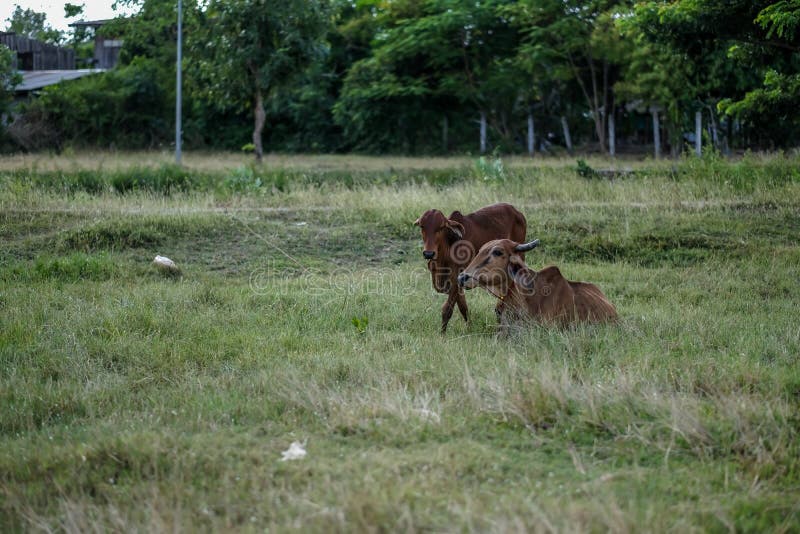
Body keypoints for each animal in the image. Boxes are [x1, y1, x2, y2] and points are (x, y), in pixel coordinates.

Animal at [415, 203, 527, 333]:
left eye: (441, 227)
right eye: (422, 226)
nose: (428, 253)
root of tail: (516, 211)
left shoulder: (456, 278)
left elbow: (447, 310)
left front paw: (442, 335)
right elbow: (463, 306)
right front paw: (469, 328)